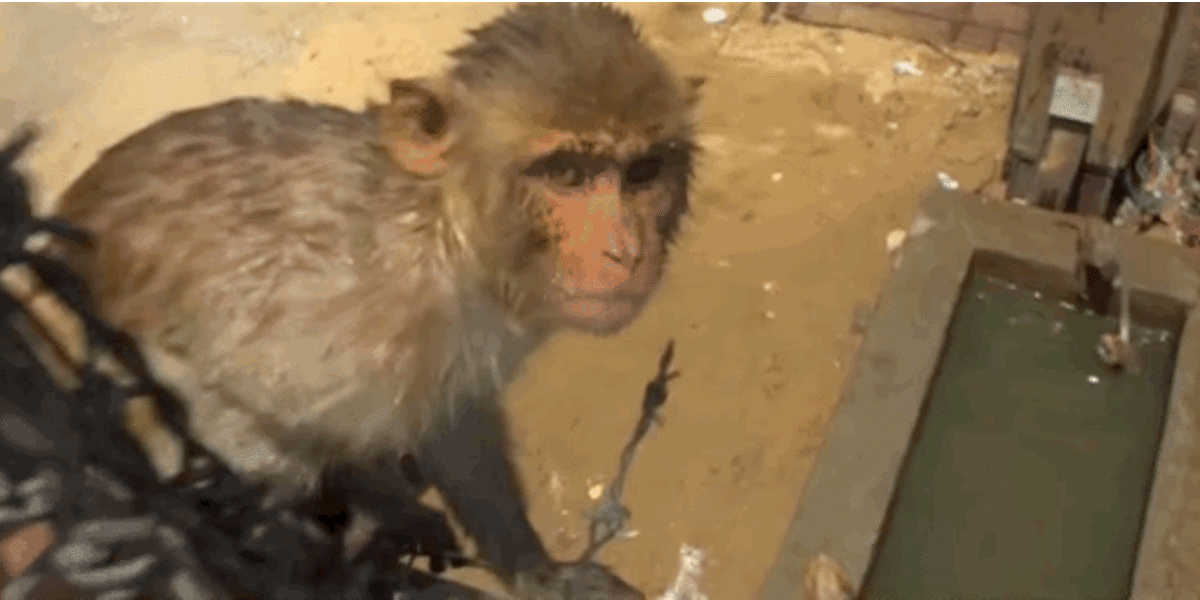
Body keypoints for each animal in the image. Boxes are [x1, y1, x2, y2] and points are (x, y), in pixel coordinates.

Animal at [48, 3, 702, 598]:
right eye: (567, 173)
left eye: (643, 172)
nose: (626, 252)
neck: (445, 237)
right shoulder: (336, 313)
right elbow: (234, 420)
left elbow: (453, 423)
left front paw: (535, 571)